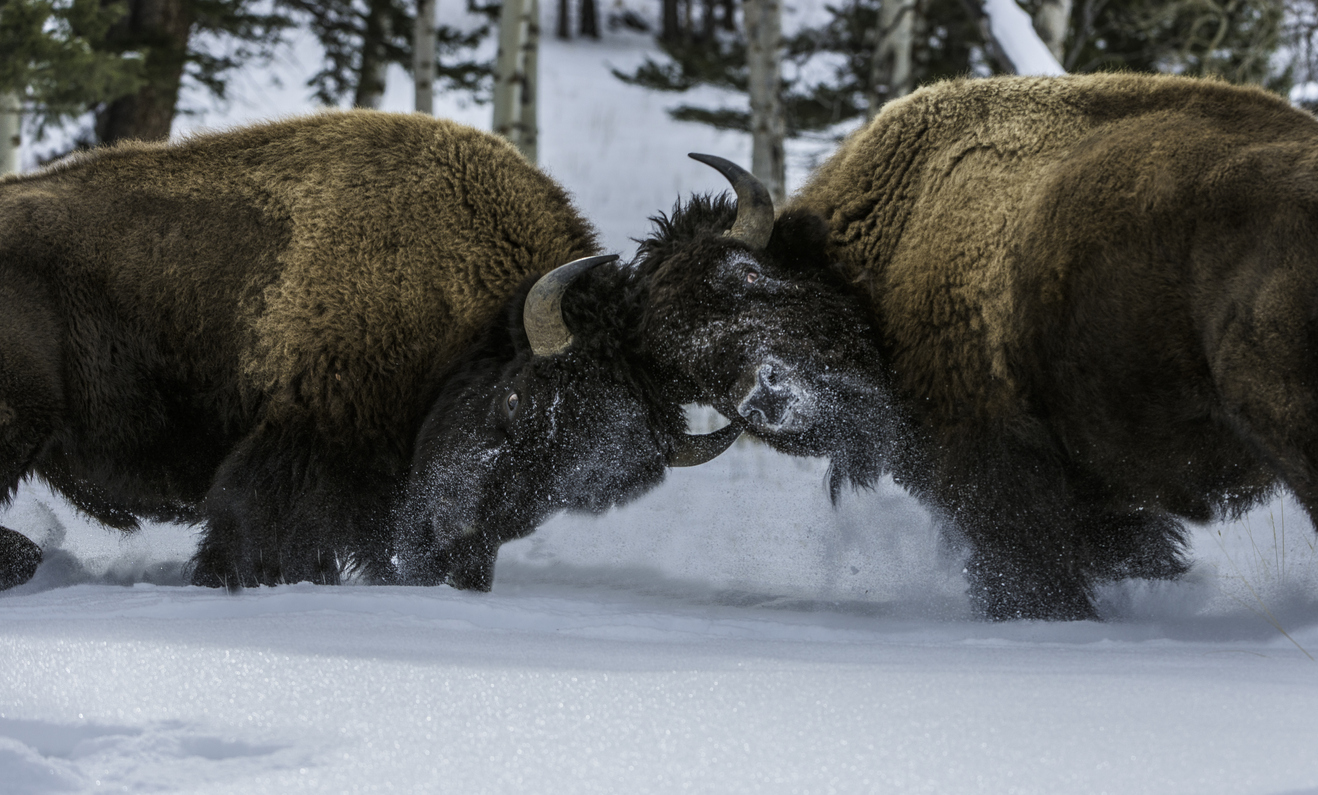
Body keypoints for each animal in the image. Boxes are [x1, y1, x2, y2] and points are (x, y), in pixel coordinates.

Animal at [0, 110, 737, 592]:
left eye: (583, 487)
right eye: (514, 398)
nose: (453, 546)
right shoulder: (300, 442)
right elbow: (250, 522)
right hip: (22, 425)